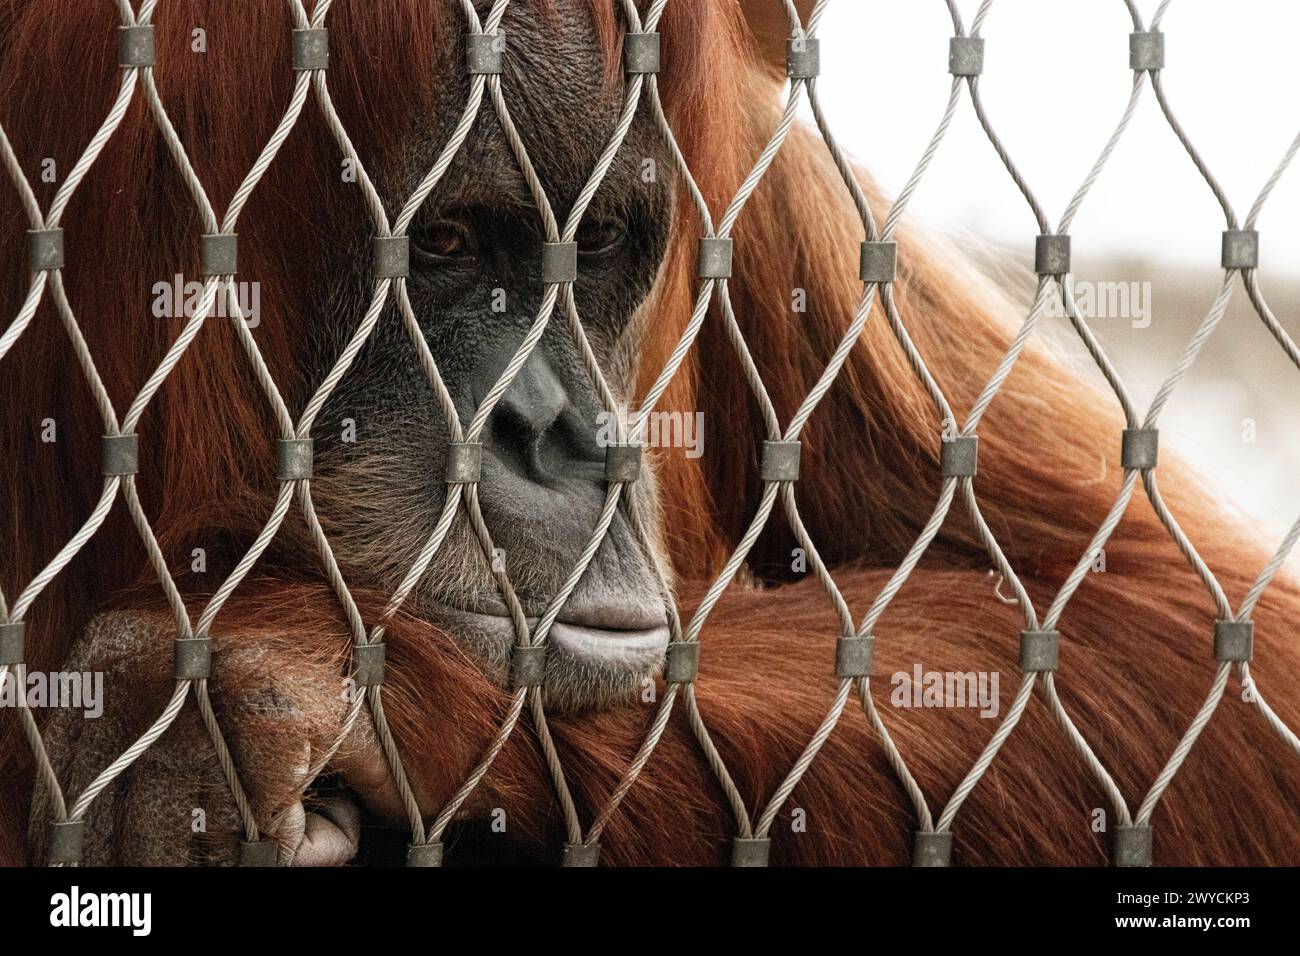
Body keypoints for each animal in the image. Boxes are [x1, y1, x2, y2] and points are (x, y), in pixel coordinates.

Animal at [2, 0, 1299, 866]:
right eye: (446, 243)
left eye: (598, 244)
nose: (560, 434)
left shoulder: (771, 208)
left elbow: (1168, 625)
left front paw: (289, 671)